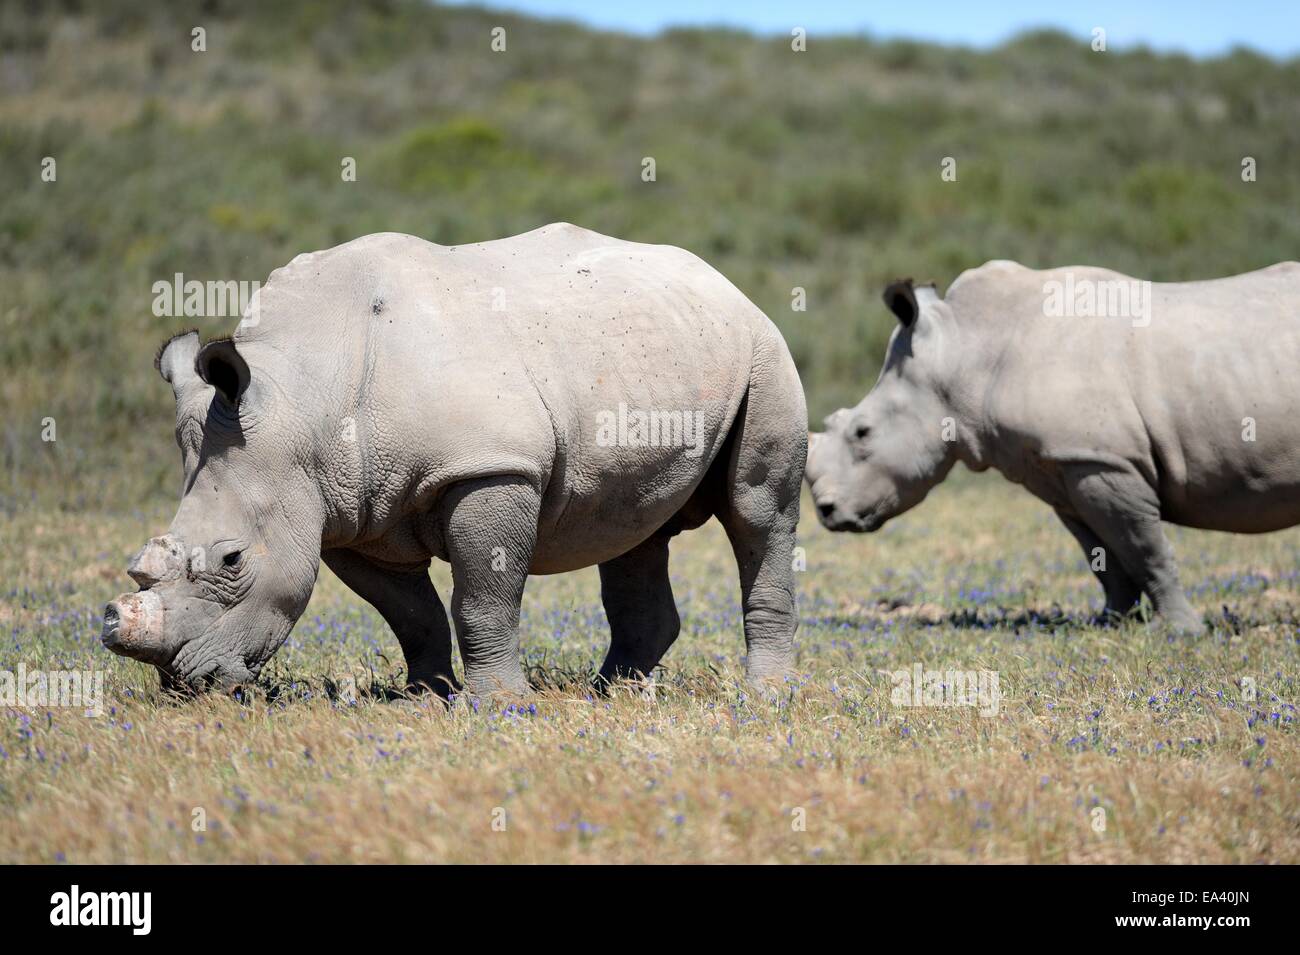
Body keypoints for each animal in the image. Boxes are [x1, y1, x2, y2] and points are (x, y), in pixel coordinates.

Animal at [103, 223, 807, 695]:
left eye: (232, 561)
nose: (185, 682)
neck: (303, 399)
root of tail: (721, 281)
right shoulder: (351, 508)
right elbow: (409, 613)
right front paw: (427, 699)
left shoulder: (489, 466)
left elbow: (481, 600)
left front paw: (502, 706)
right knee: (633, 524)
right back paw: (611, 695)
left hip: (764, 350)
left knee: (758, 513)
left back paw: (765, 698)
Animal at [806, 261, 1300, 632]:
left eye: (862, 433)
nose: (827, 512)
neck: (963, 356)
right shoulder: (1062, 465)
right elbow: (1105, 558)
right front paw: (1110, 623)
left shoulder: (1101, 459)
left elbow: (1147, 550)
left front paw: (1181, 632)